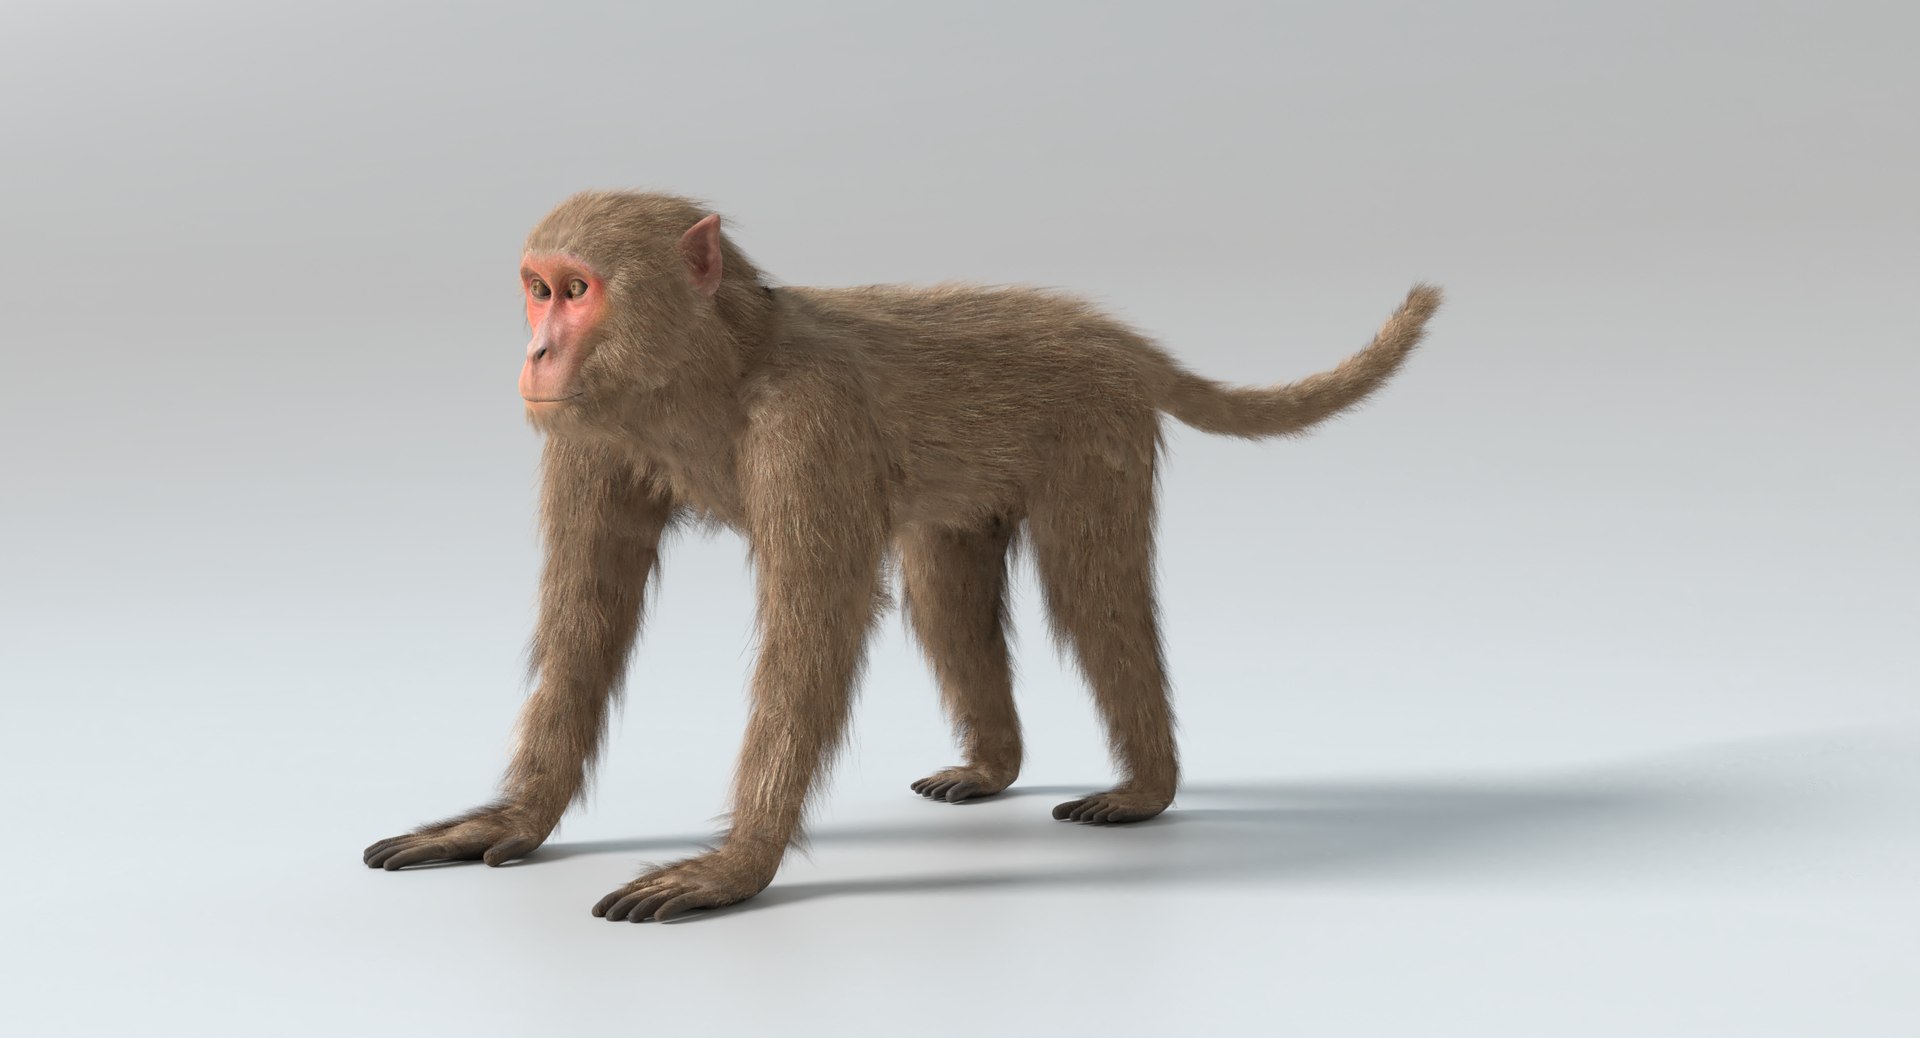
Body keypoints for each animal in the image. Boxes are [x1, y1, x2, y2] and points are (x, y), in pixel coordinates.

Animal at [362, 190, 1442, 923]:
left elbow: (814, 630)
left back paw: (1147, 789)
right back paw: (998, 767)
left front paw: (736, 867)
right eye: (537, 291)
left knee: (1093, 591)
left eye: (576, 293)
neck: (722, 361)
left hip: (1095, 423)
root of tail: (1105, 331)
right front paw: (514, 817)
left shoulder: (808, 427)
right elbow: (587, 618)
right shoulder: (591, 429)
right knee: (946, 583)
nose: (538, 354)